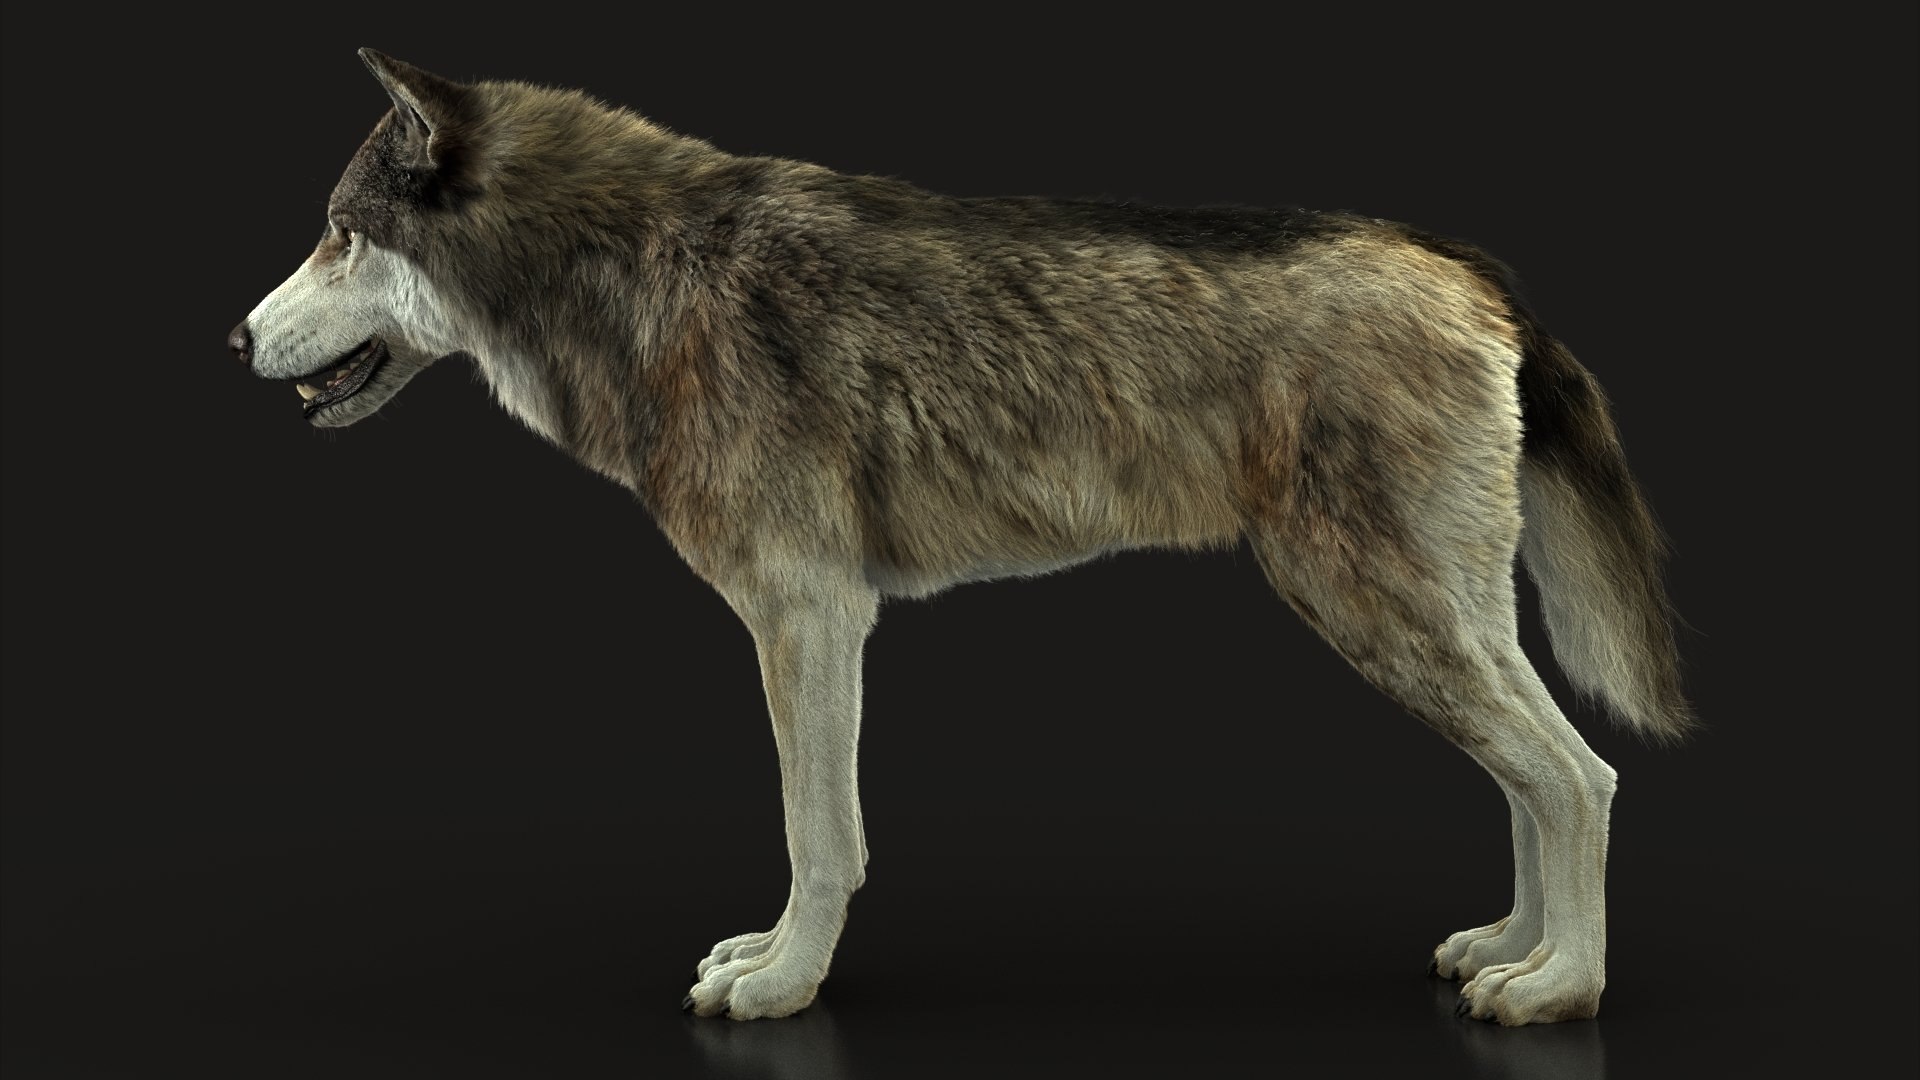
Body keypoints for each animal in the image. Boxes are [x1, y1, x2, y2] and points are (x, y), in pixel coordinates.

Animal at [230, 49, 1694, 1025]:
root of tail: (1475, 273)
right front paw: (781, 966)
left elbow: (820, 836)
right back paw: (1508, 947)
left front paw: (784, 983)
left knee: (1580, 778)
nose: (235, 339)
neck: (642, 272)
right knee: (1533, 777)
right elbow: (824, 833)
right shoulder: (814, 622)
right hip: (1430, 626)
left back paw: (1557, 988)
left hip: (1377, 615)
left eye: (337, 236)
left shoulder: (809, 614)